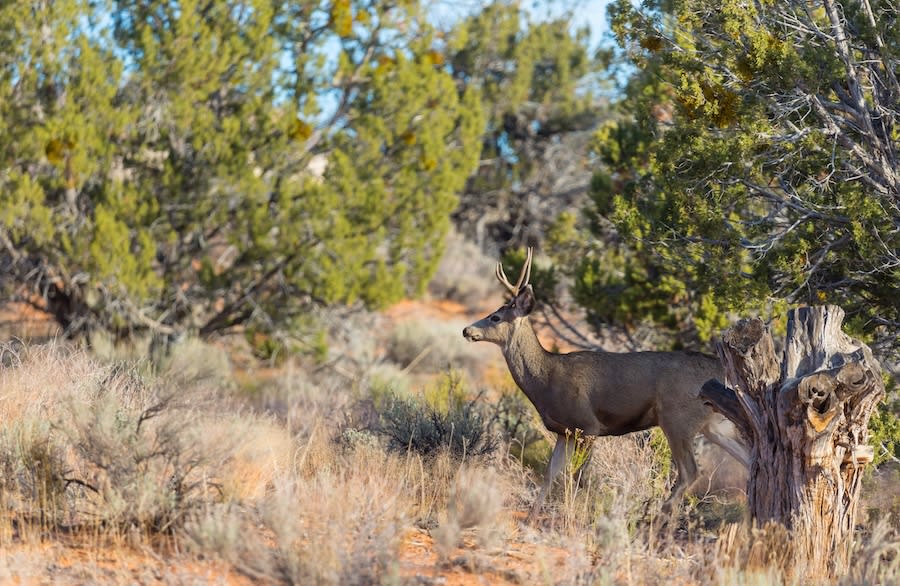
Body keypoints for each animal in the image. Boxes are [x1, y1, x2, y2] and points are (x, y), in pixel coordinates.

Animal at [462, 248, 749, 516]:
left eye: (495, 317)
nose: (466, 330)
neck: (546, 378)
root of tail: (722, 369)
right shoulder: (564, 431)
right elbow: (550, 474)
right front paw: (533, 516)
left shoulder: (587, 424)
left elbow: (577, 477)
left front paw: (578, 513)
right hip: (715, 425)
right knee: (748, 460)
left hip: (677, 416)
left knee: (690, 471)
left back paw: (658, 516)